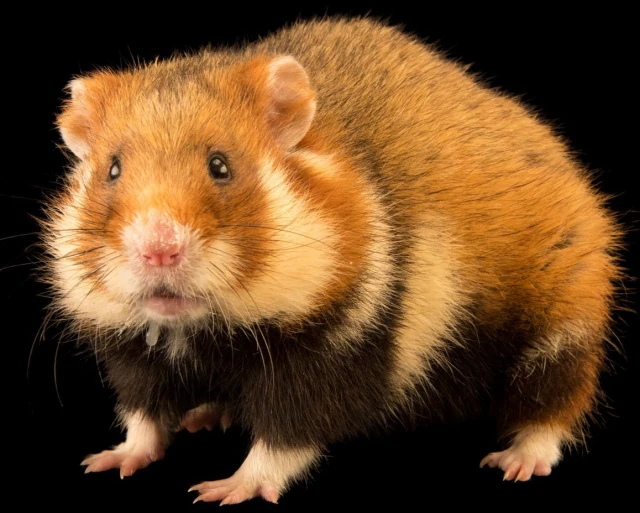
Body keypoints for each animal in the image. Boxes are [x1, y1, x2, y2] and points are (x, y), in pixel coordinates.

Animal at [42, 17, 623, 505]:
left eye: (221, 166)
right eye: (112, 169)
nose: (157, 248)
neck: (206, 329)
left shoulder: (339, 349)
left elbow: (285, 438)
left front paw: (225, 490)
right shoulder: (132, 351)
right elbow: (144, 414)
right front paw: (110, 459)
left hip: (563, 326)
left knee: (554, 405)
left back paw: (516, 462)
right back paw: (208, 414)